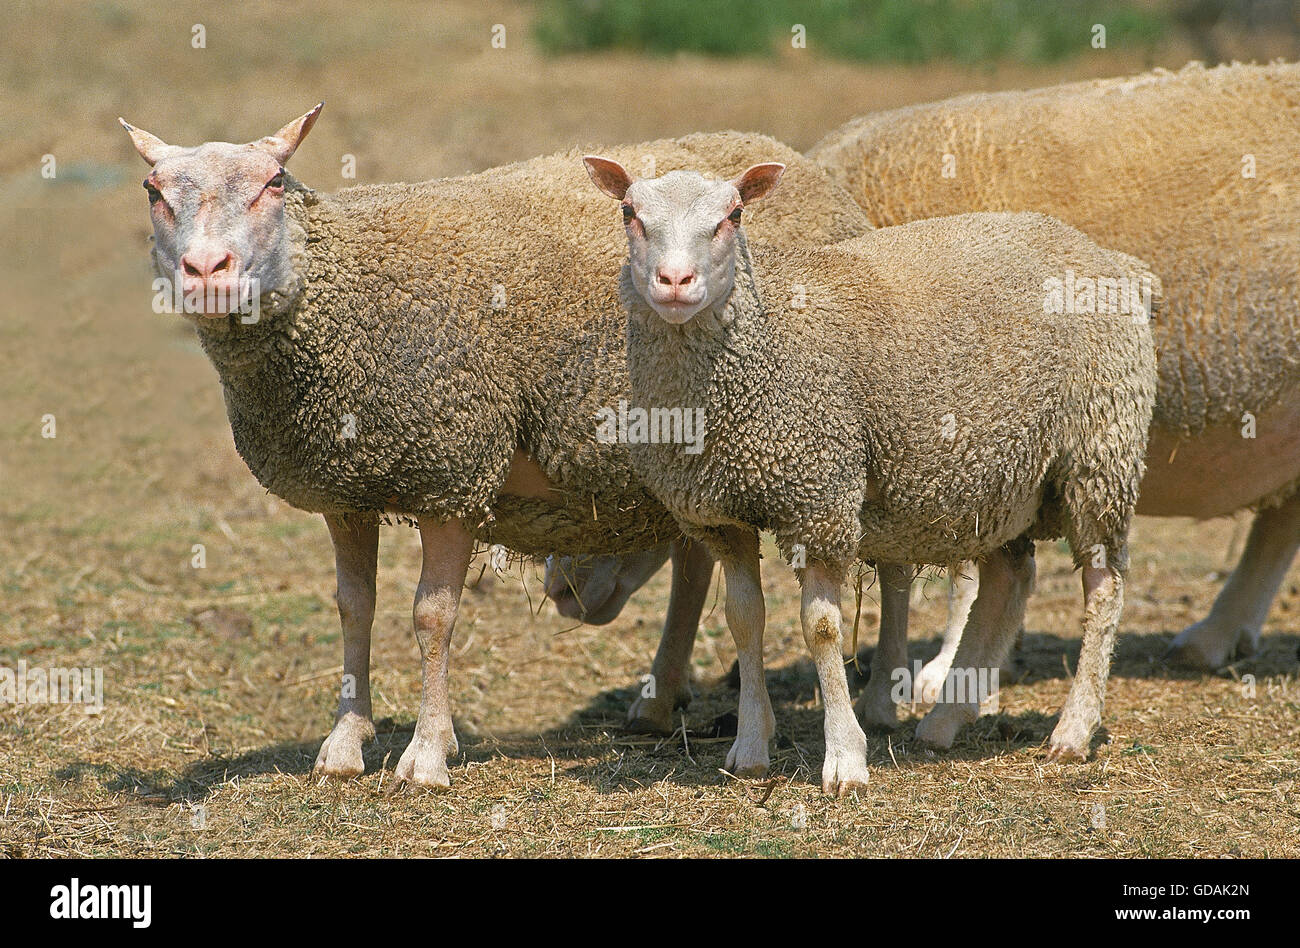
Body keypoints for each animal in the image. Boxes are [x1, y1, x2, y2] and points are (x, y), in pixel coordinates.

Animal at [119, 105, 873, 789]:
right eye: (153, 192)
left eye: (274, 183)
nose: (206, 269)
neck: (349, 285)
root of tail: (792, 159)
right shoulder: (348, 490)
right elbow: (353, 607)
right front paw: (345, 743)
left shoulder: (455, 466)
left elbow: (432, 617)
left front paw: (425, 755)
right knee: (696, 562)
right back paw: (662, 699)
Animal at [583, 155, 1158, 792]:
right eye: (629, 212)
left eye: (732, 216)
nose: (675, 282)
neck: (763, 353)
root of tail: (1109, 258)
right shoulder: (720, 517)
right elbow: (744, 621)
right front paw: (751, 747)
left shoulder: (821, 498)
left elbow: (821, 628)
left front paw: (845, 760)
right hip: (1004, 478)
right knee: (1008, 583)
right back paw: (944, 721)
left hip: (1099, 450)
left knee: (1103, 590)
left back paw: (1072, 731)